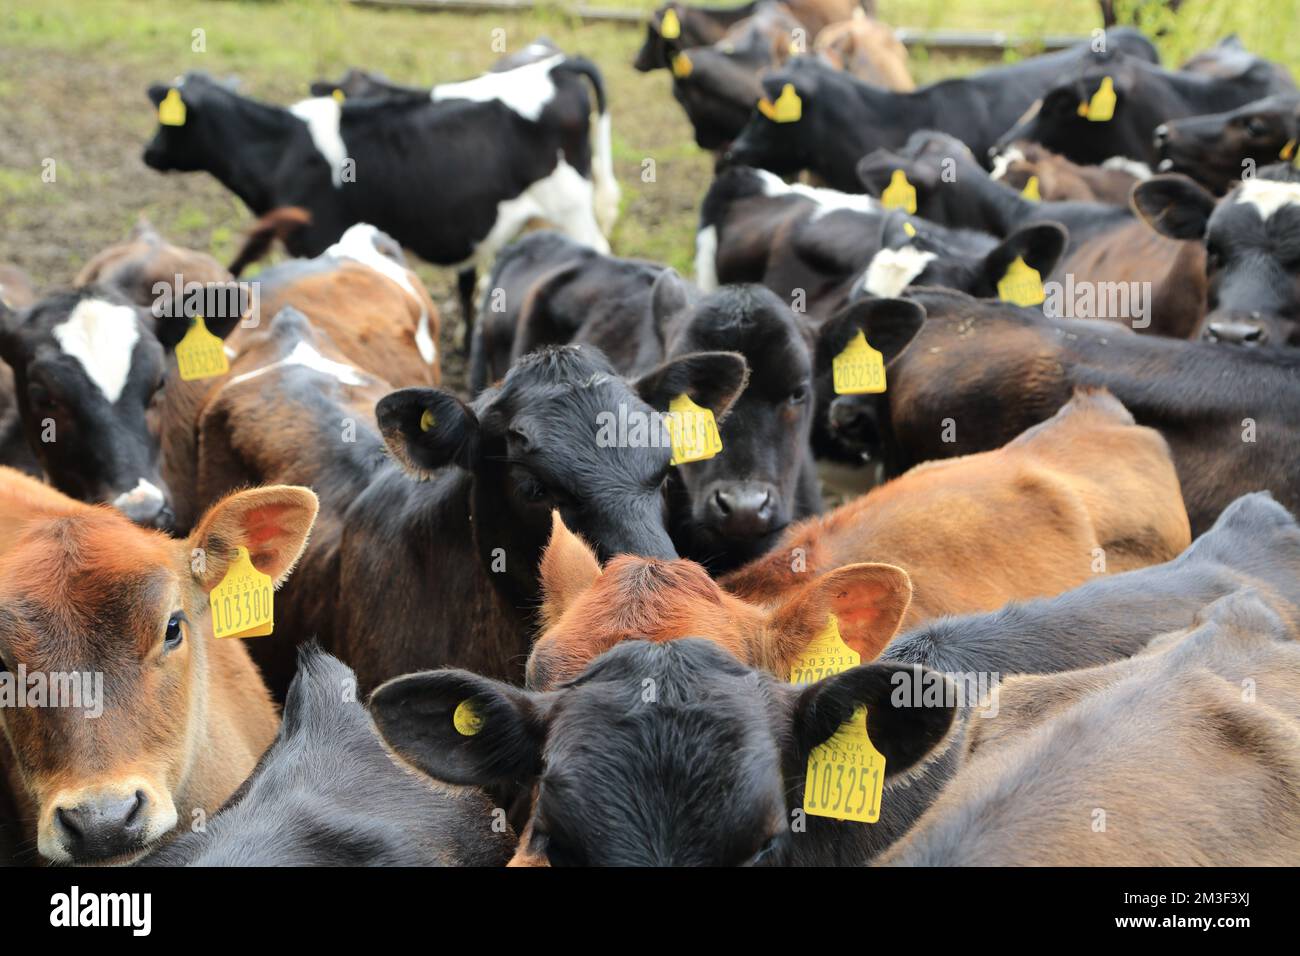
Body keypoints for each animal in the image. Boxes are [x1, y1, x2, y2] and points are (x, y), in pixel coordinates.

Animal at [143, 58, 619, 336]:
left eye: (167, 121)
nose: (147, 153)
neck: (281, 149)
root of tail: (554, 66)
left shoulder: (317, 239)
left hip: (573, 209)